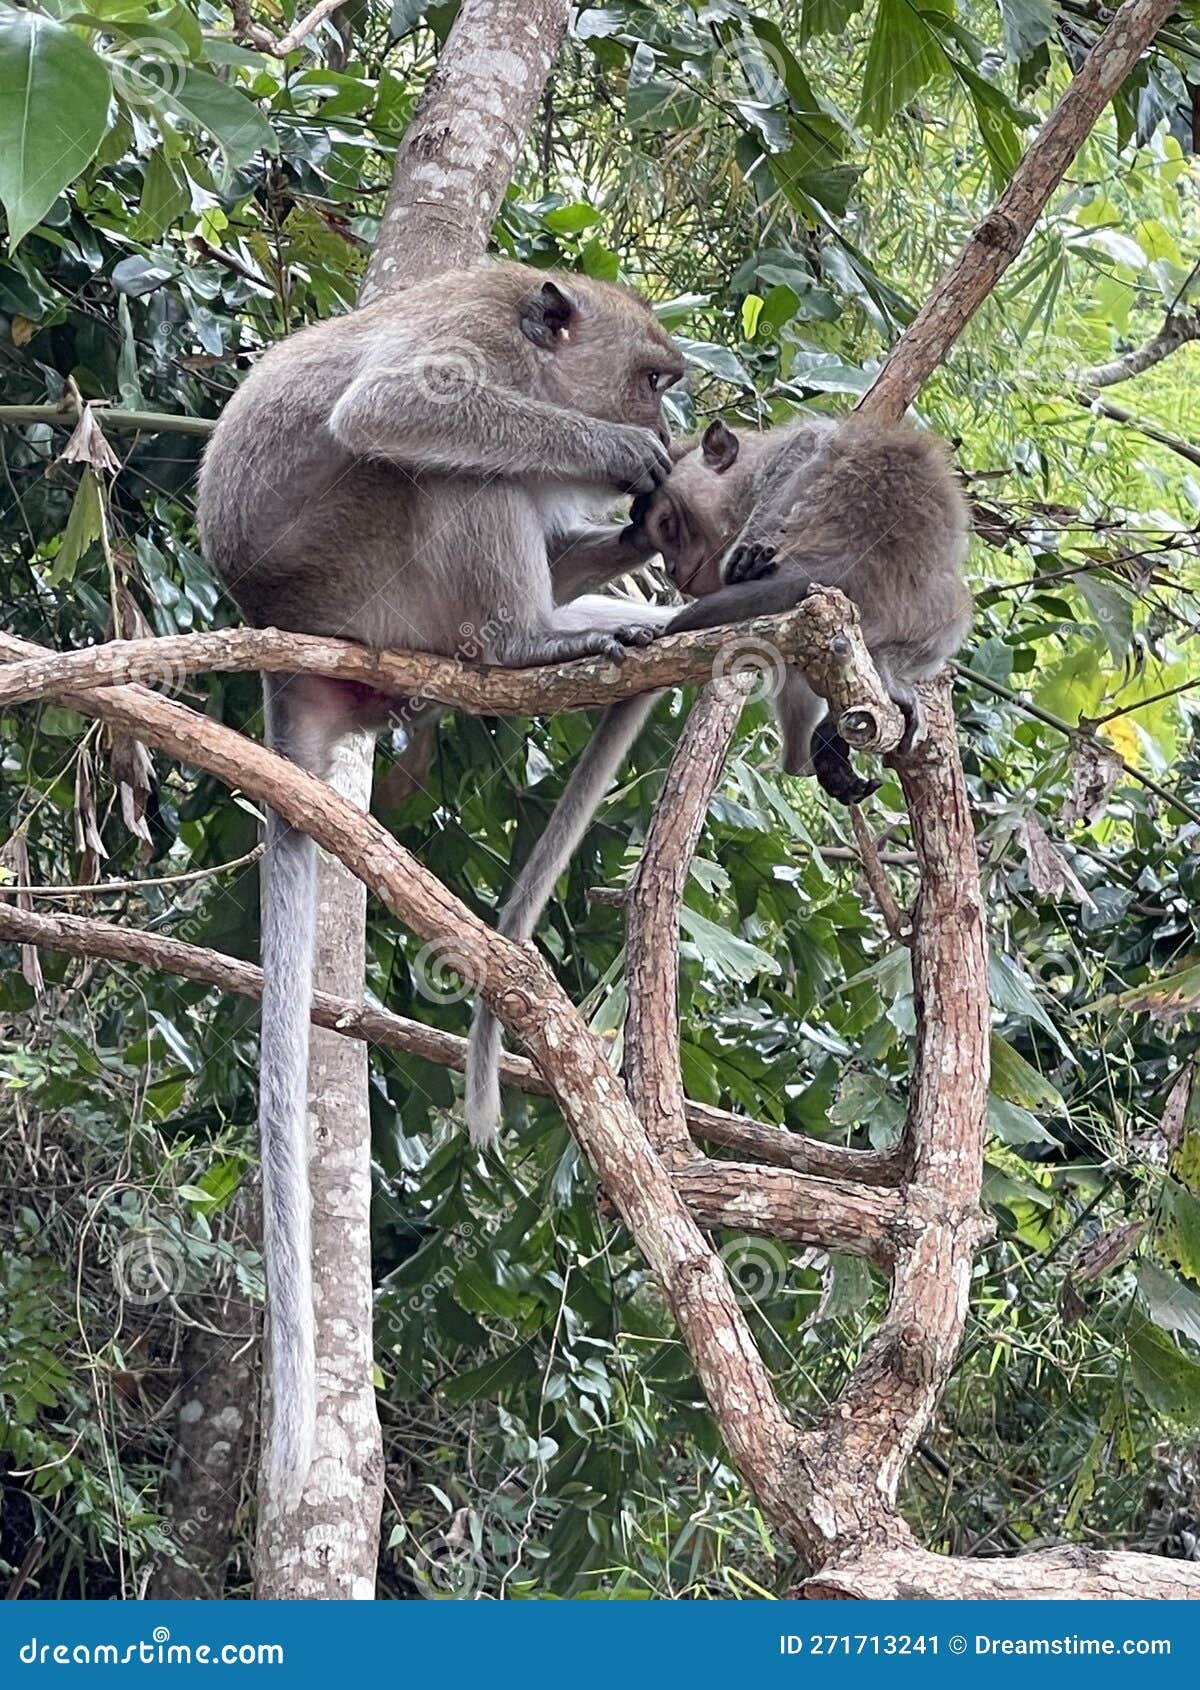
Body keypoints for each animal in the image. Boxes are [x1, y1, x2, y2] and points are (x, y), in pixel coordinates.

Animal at [195, 259, 686, 1508]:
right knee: (446, 469)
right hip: (369, 572)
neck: (532, 347)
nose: (670, 422)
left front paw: (646, 521)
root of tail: (283, 632)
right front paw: (621, 459)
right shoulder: (471, 345)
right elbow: (398, 414)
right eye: (653, 378)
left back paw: (607, 616)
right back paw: (526, 639)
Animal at [464, 411, 971, 1143]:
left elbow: (806, 449)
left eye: (668, 526)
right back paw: (846, 725)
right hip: (916, 618)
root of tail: (841, 566)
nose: (675, 571)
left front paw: (745, 552)